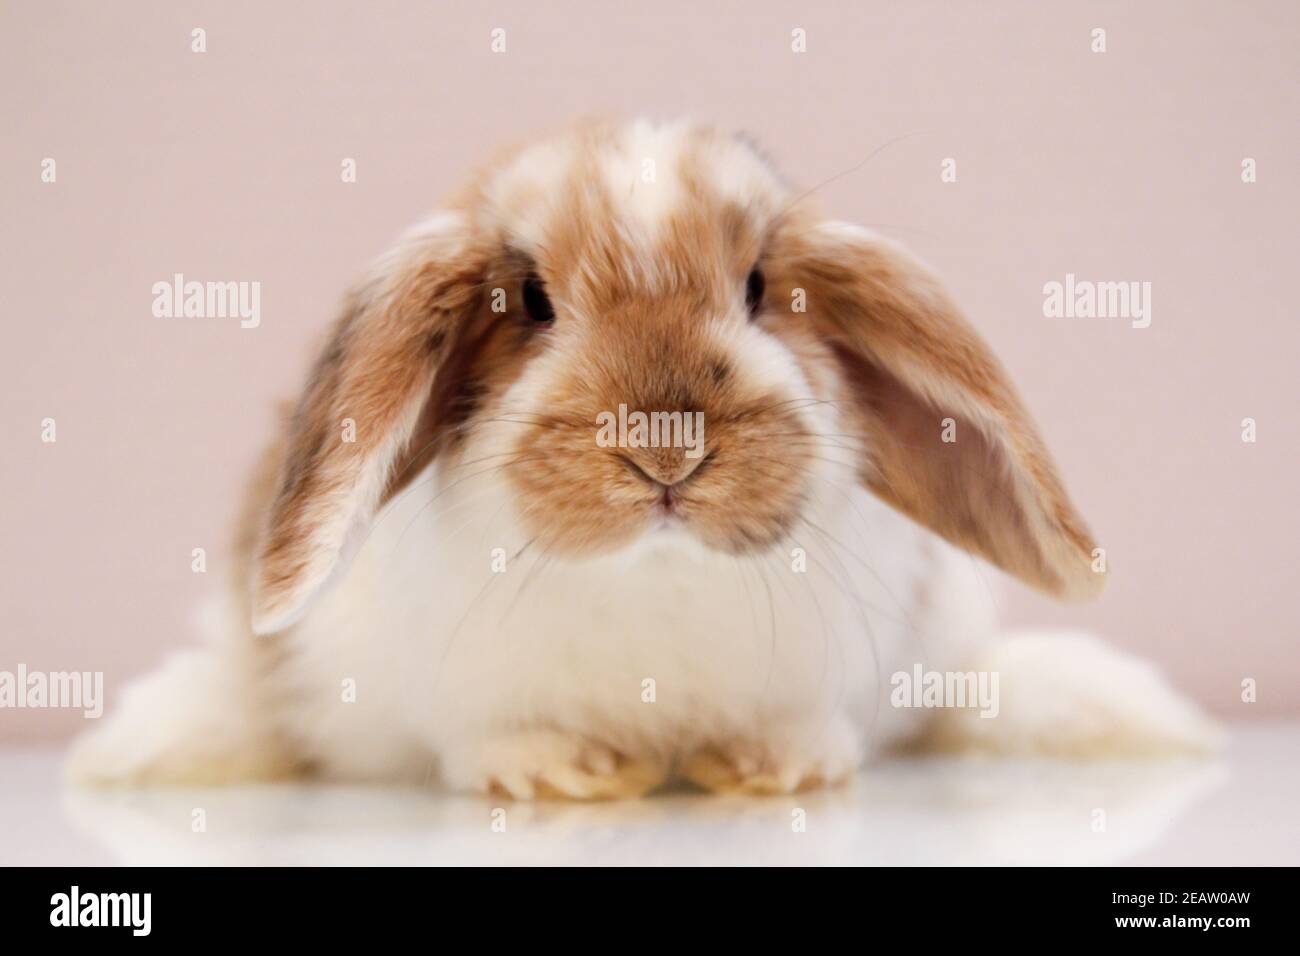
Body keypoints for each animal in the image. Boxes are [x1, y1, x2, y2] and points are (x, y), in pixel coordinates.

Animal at [67, 119, 1220, 798]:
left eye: (758, 288)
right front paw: (559, 774)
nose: (664, 445)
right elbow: (484, 740)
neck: (656, 575)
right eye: (530, 300)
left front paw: (776, 765)